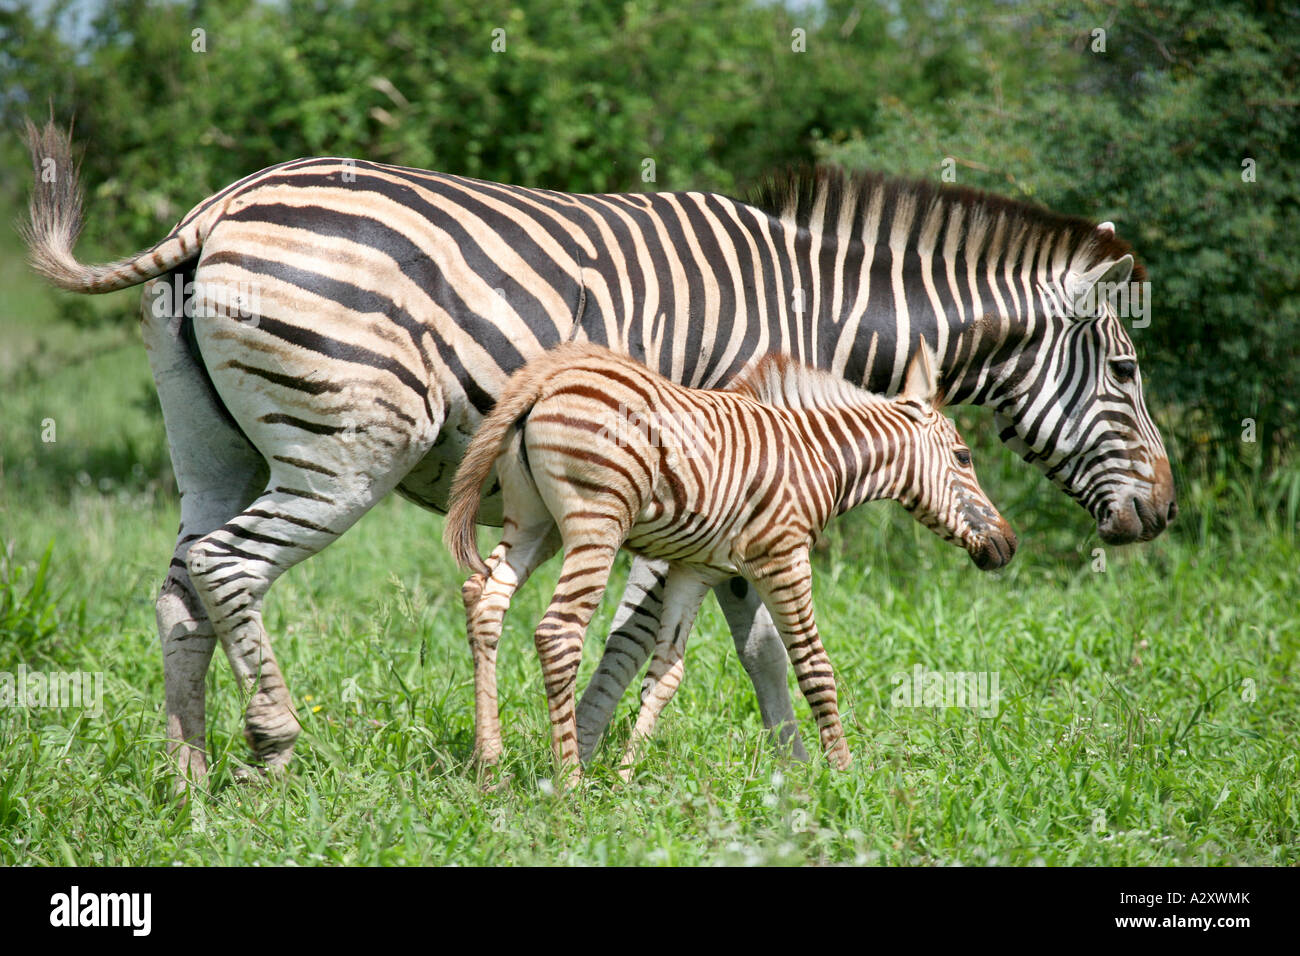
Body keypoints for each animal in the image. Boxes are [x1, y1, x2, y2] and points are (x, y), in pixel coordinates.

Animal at [443, 342, 1016, 781]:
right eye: (964, 457)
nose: (1008, 546)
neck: (818, 457)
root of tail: (547, 377)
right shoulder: (782, 558)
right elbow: (814, 666)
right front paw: (844, 774)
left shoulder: (698, 568)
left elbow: (667, 671)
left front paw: (625, 777)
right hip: (595, 522)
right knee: (558, 631)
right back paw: (568, 784)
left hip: (532, 524)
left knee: (484, 599)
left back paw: (490, 765)